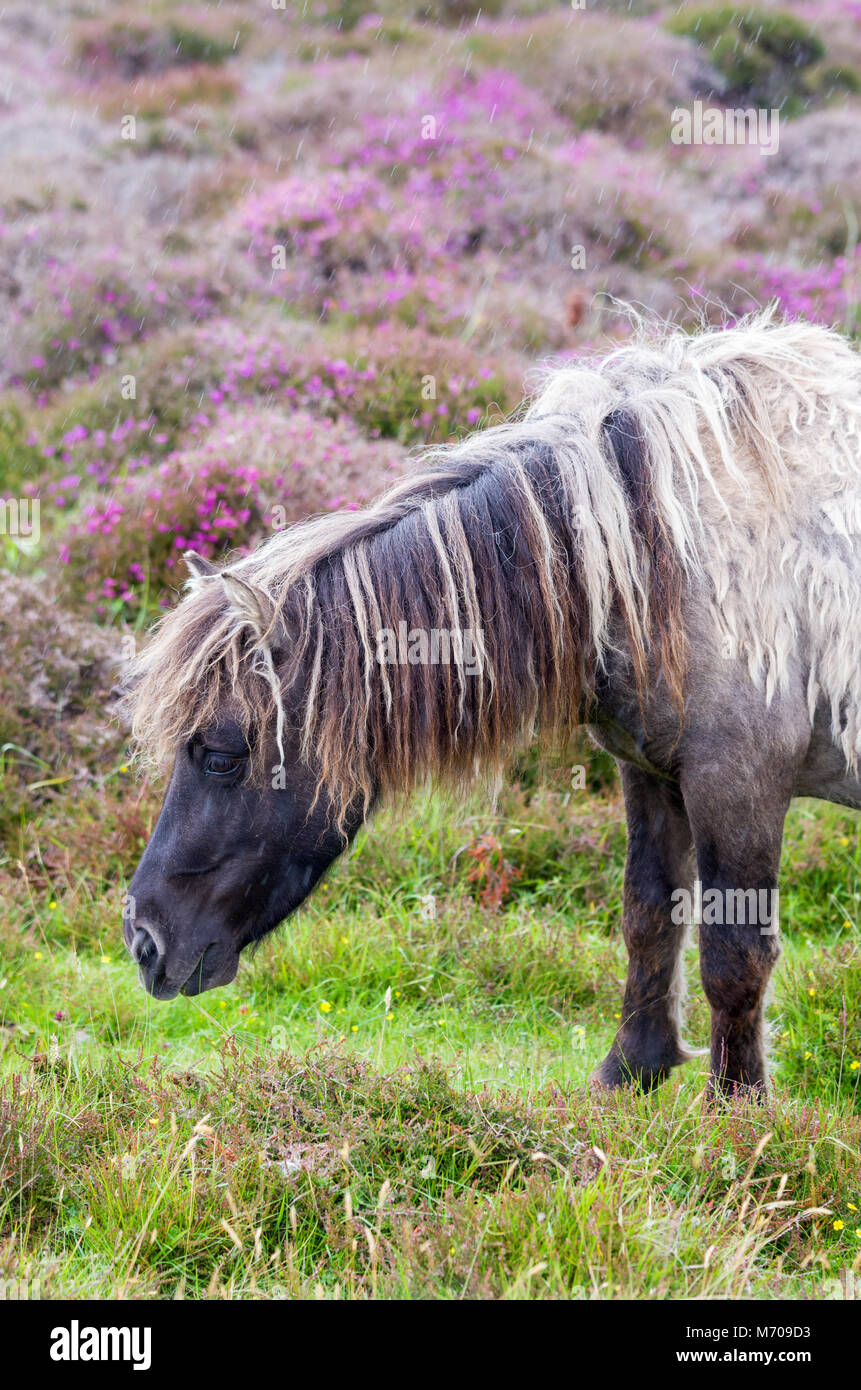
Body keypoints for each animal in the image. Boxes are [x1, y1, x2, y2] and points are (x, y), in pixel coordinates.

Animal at [124, 311, 861, 1098]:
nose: (144, 941)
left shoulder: (738, 783)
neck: (659, 547)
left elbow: (734, 954)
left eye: (221, 756)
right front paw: (628, 1073)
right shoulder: (652, 772)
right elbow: (648, 917)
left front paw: (737, 1109)